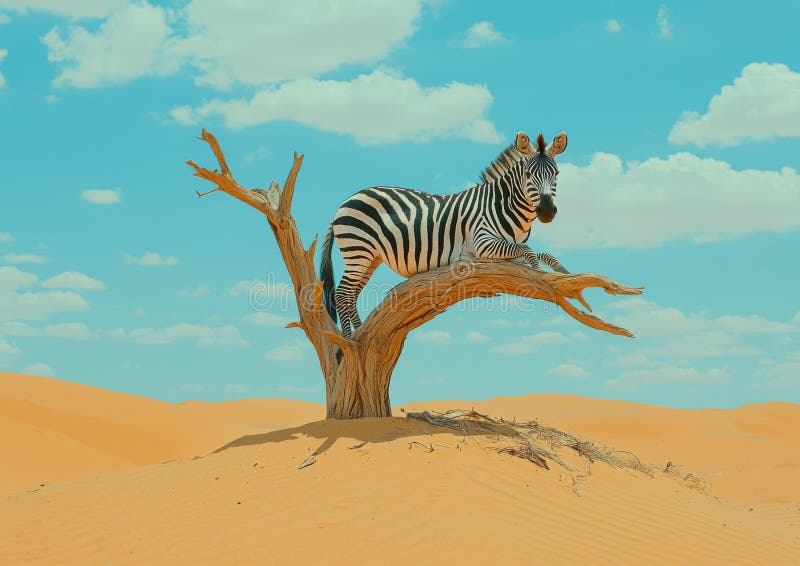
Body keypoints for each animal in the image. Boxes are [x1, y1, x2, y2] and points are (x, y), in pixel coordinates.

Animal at [320, 131, 569, 338]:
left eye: (556, 173)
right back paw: (349, 340)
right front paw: (540, 274)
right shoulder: (482, 242)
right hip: (358, 249)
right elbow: (530, 251)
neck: (505, 207)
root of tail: (345, 202)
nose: (547, 211)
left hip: (370, 256)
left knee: (352, 294)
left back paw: (362, 333)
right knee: (342, 293)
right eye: (528, 174)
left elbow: (540, 253)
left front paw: (561, 270)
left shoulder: (505, 252)